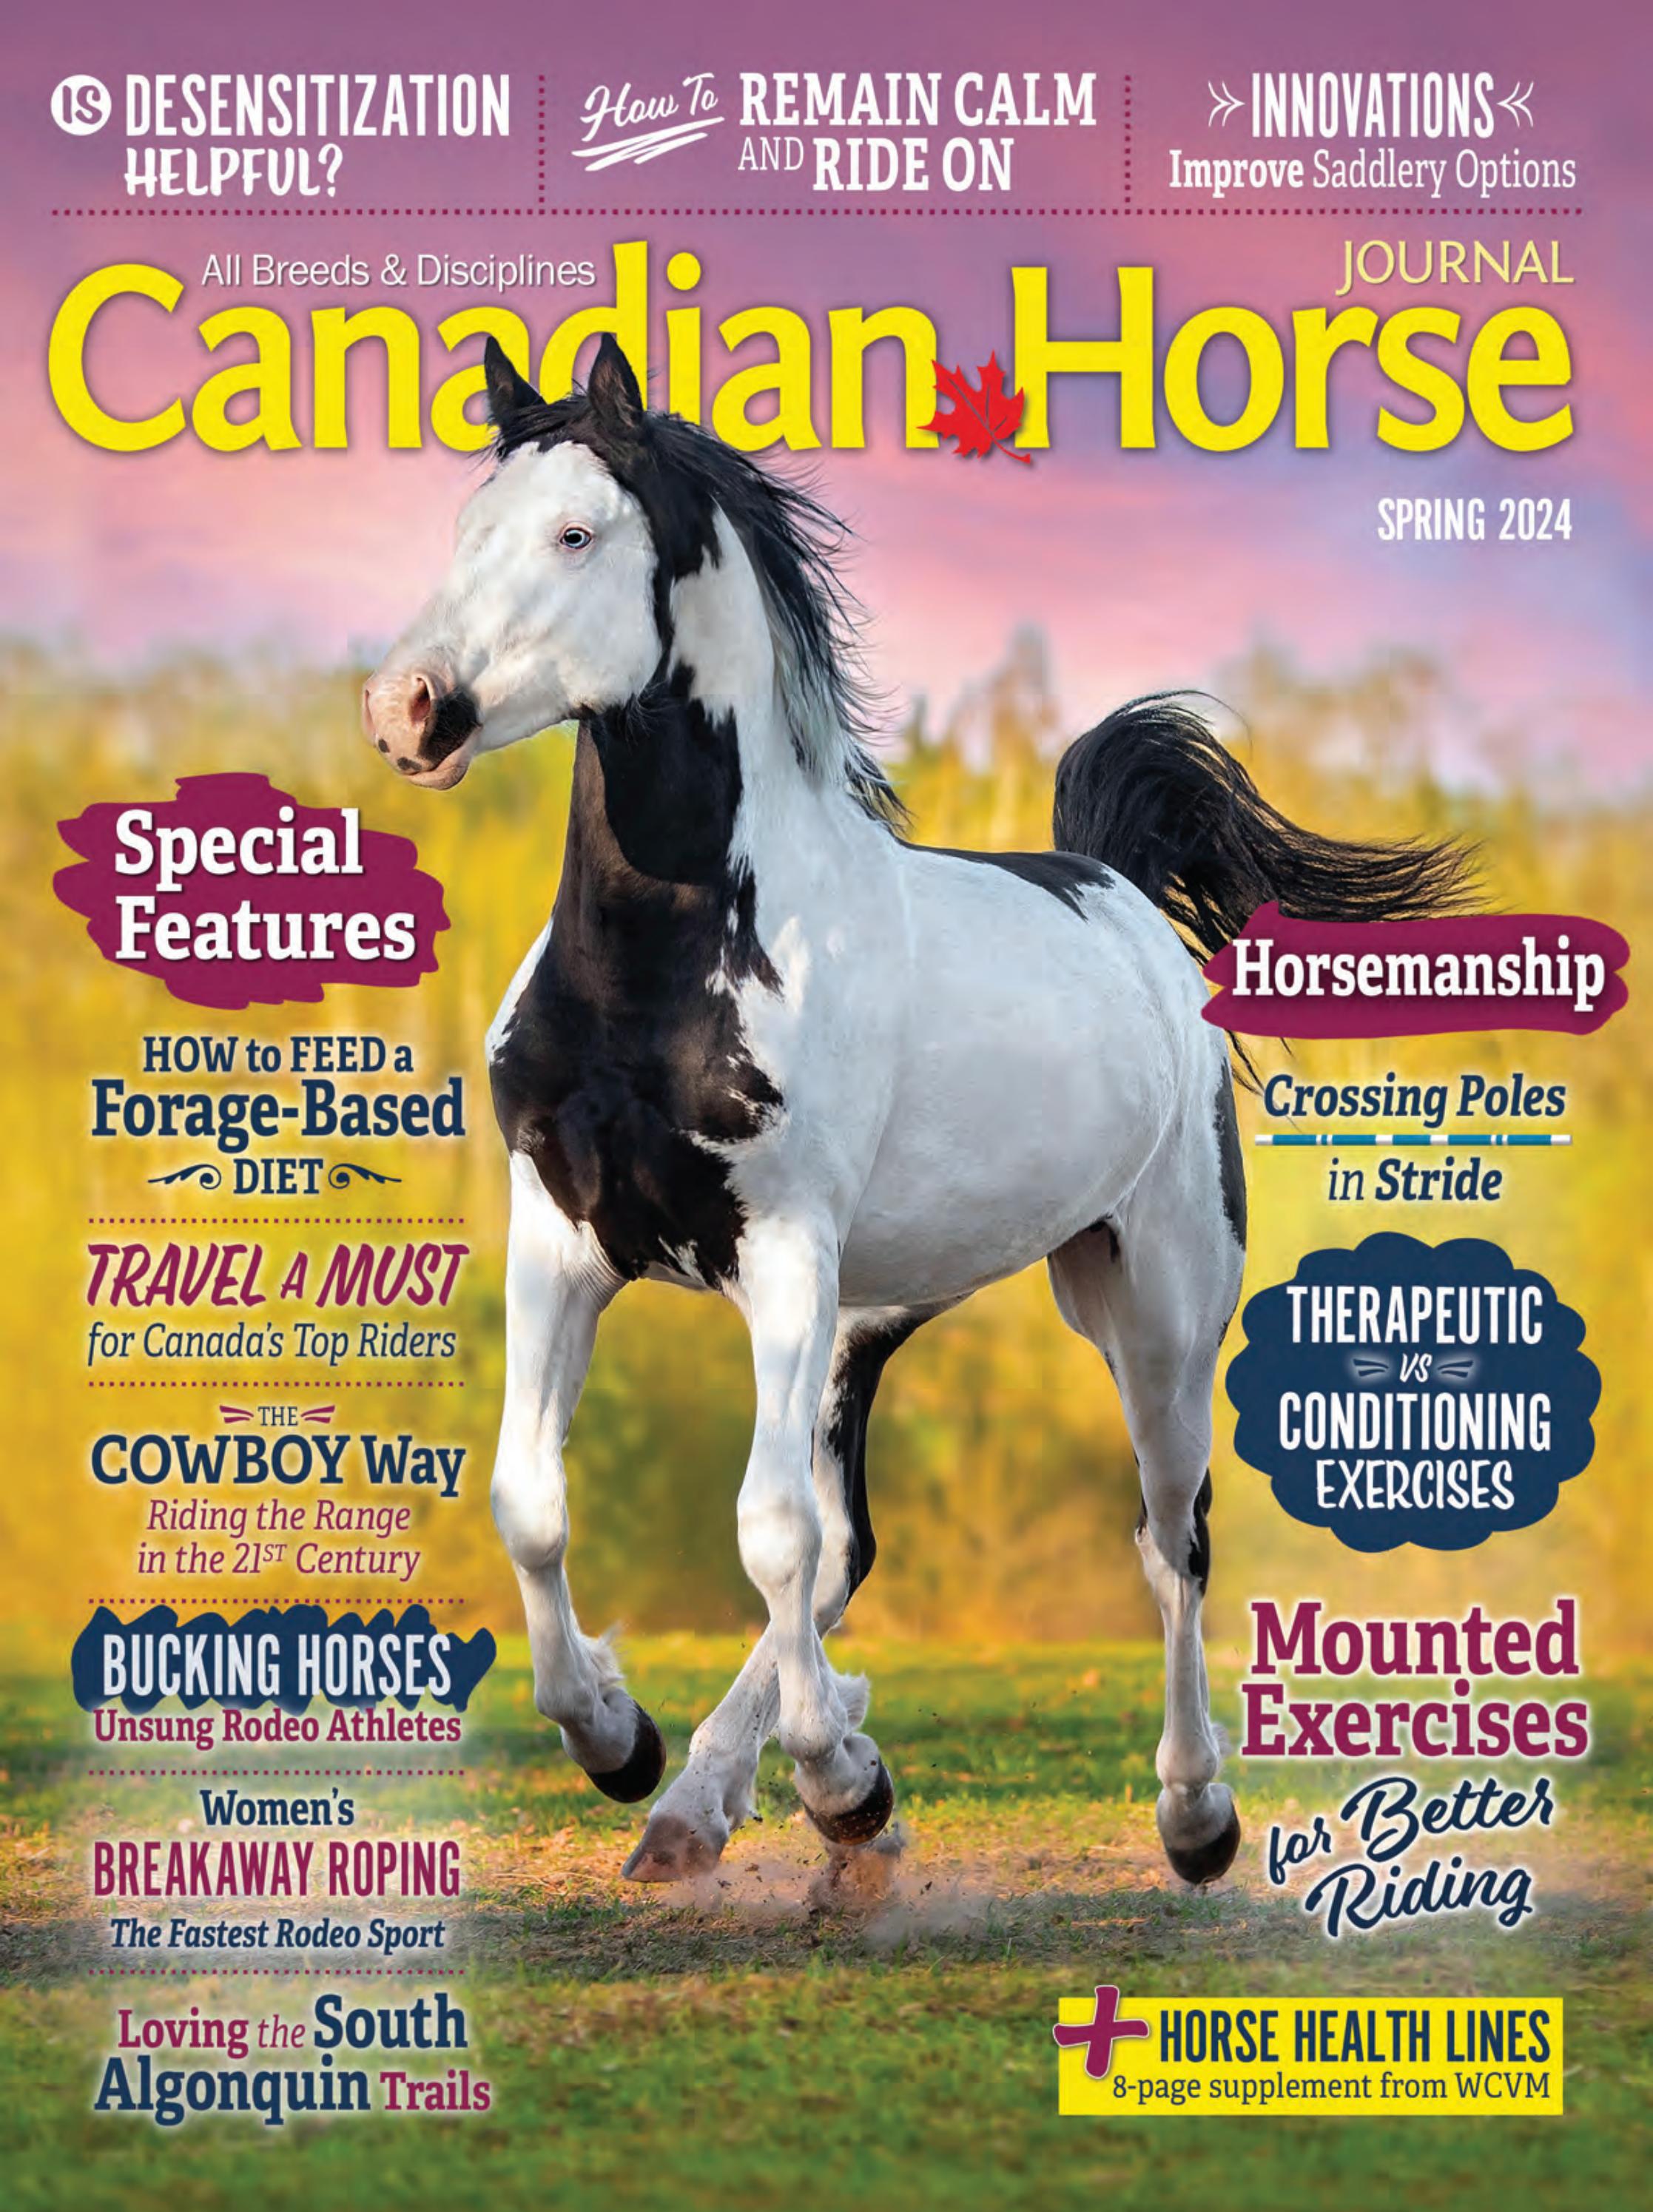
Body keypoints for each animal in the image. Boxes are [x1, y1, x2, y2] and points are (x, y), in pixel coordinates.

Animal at [362, 333, 1470, 1887]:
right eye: (469, 527)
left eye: (575, 534)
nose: (406, 709)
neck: (662, 973)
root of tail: (1118, 893)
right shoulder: (564, 1239)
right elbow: (534, 1502)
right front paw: (620, 1742)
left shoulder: (780, 1251)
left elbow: (762, 1533)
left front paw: (829, 1780)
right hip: (866, 1319)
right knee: (847, 1548)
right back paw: (703, 1804)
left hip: (1149, 1303)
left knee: (1167, 1535)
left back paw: (1187, 1817)